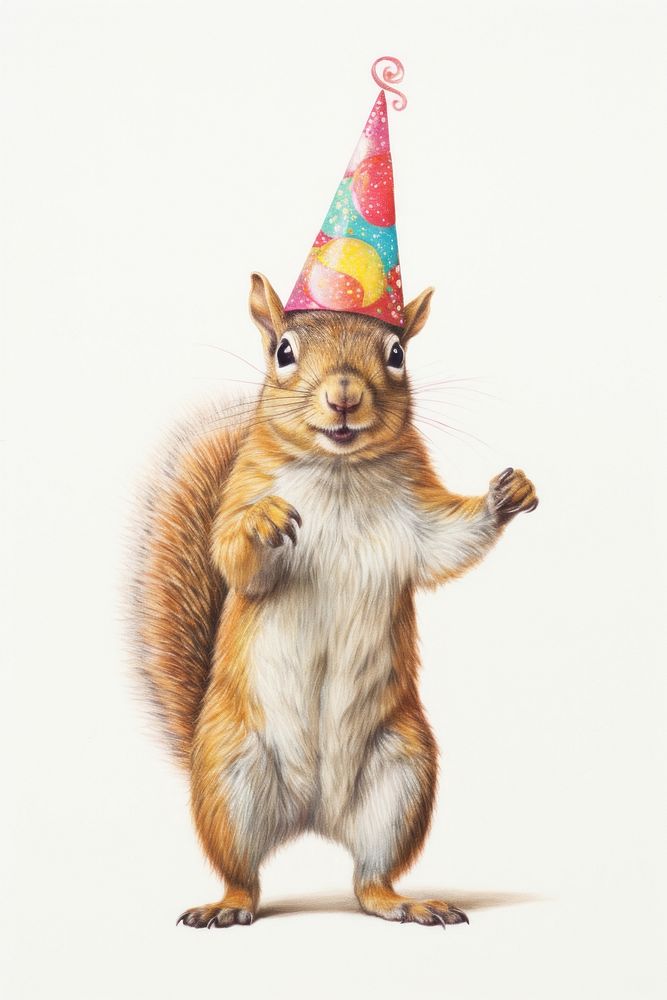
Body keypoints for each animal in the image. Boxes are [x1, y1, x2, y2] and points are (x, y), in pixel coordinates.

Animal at [130, 271, 538, 930]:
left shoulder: (419, 522)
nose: (343, 396)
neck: (338, 469)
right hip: (229, 776)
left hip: (401, 776)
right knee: (243, 873)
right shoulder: (240, 495)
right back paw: (228, 906)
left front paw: (508, 494)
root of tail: (311, 815)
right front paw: (263, 523)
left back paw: (406, 904)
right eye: (283, 351)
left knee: (369, 880)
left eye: (397, 354)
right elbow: (236, 560)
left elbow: (449, 544)